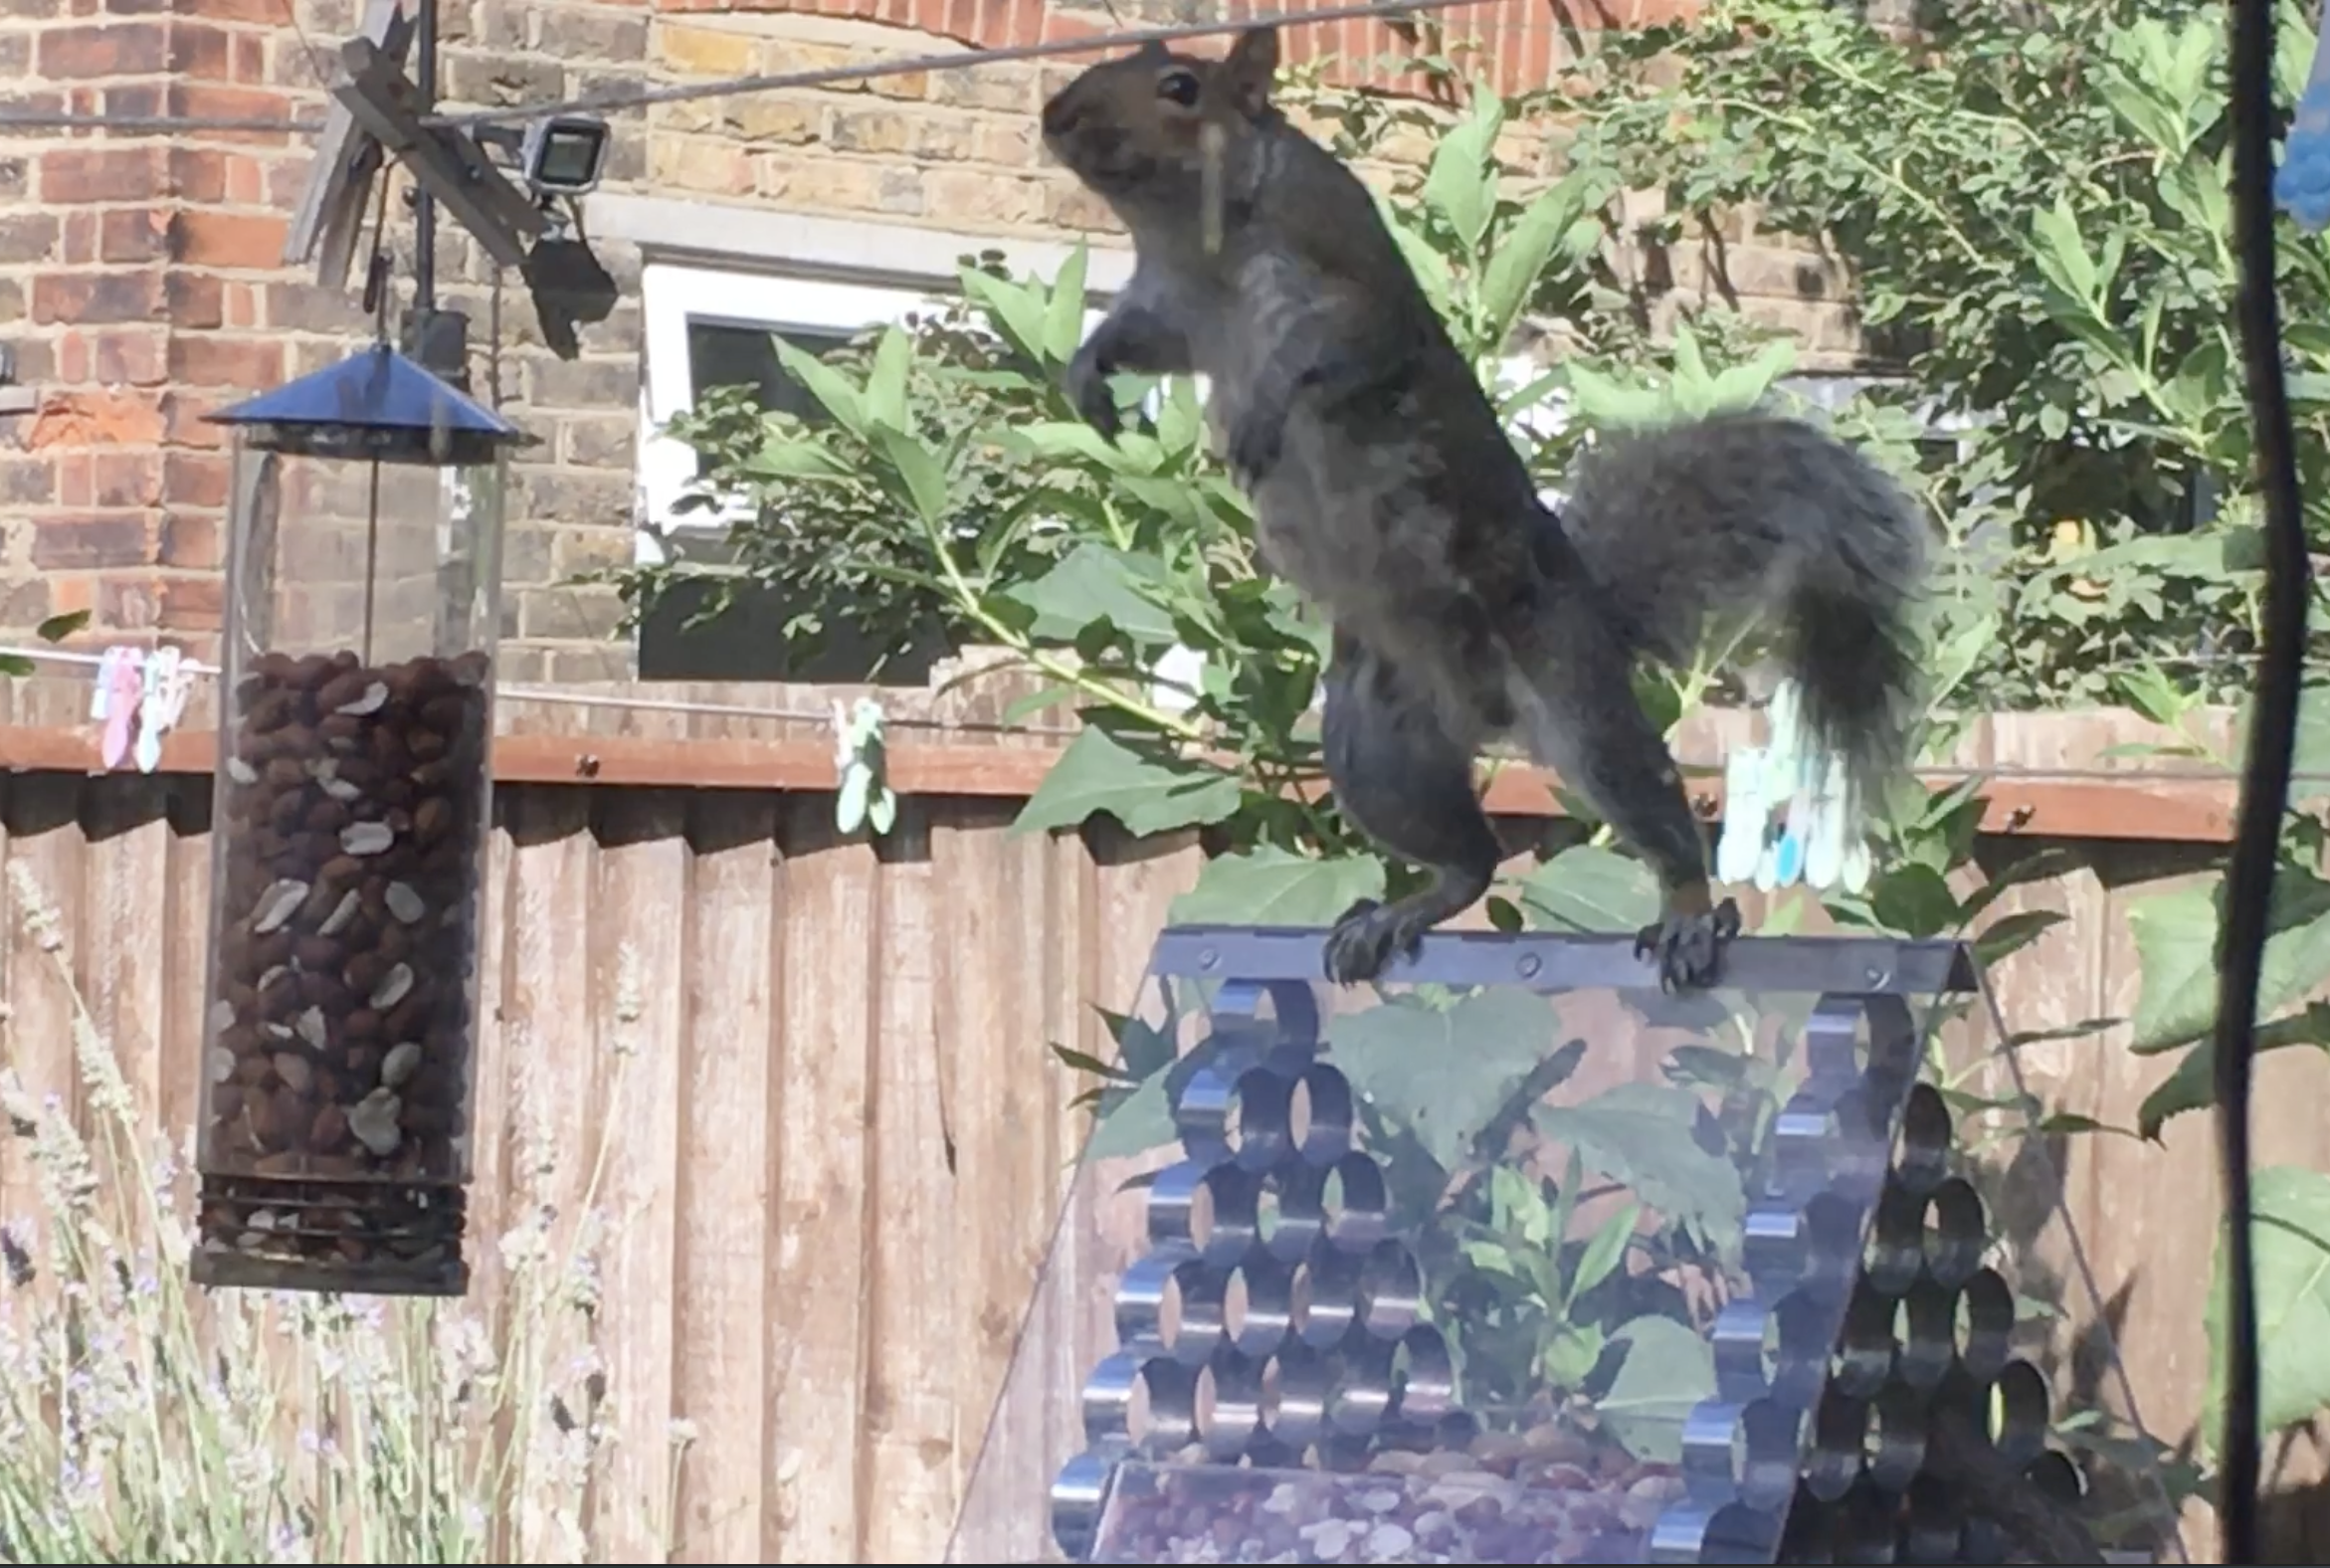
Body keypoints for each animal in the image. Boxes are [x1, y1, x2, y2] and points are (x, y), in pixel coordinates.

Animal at [1039, 27, 1930, 992]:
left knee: (1650, 811)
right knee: (1474, 859)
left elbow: (1332, 353)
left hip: (1574, 699)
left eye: (1180, 87)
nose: (1058, 116)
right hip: (1373, 744)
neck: (1202, 242)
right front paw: (1087, 377)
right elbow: (1135, 338)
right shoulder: (1171, 306)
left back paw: (1691, 918)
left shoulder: (1349, 289)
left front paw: (1267, 414)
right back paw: (1397, 913)